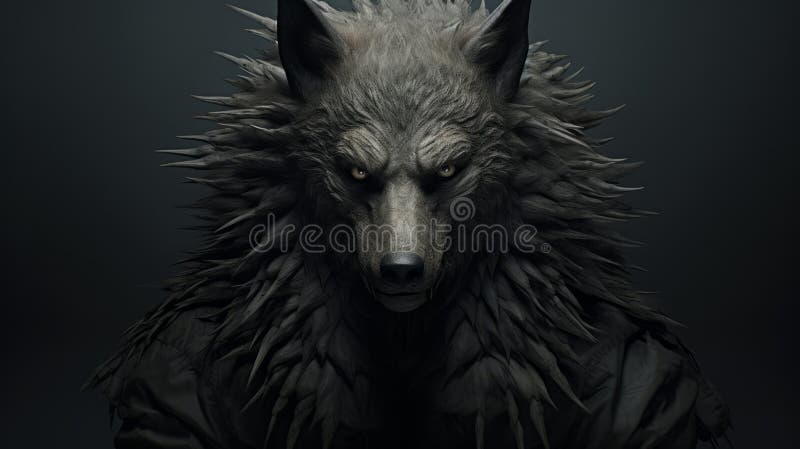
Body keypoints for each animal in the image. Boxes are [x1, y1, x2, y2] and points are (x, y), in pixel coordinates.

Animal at [89, 1, 730, 448]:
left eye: (448, 171)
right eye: (354, 172)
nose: (401, 269)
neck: (403, 340)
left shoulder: (652, 384)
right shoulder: (165, 376)